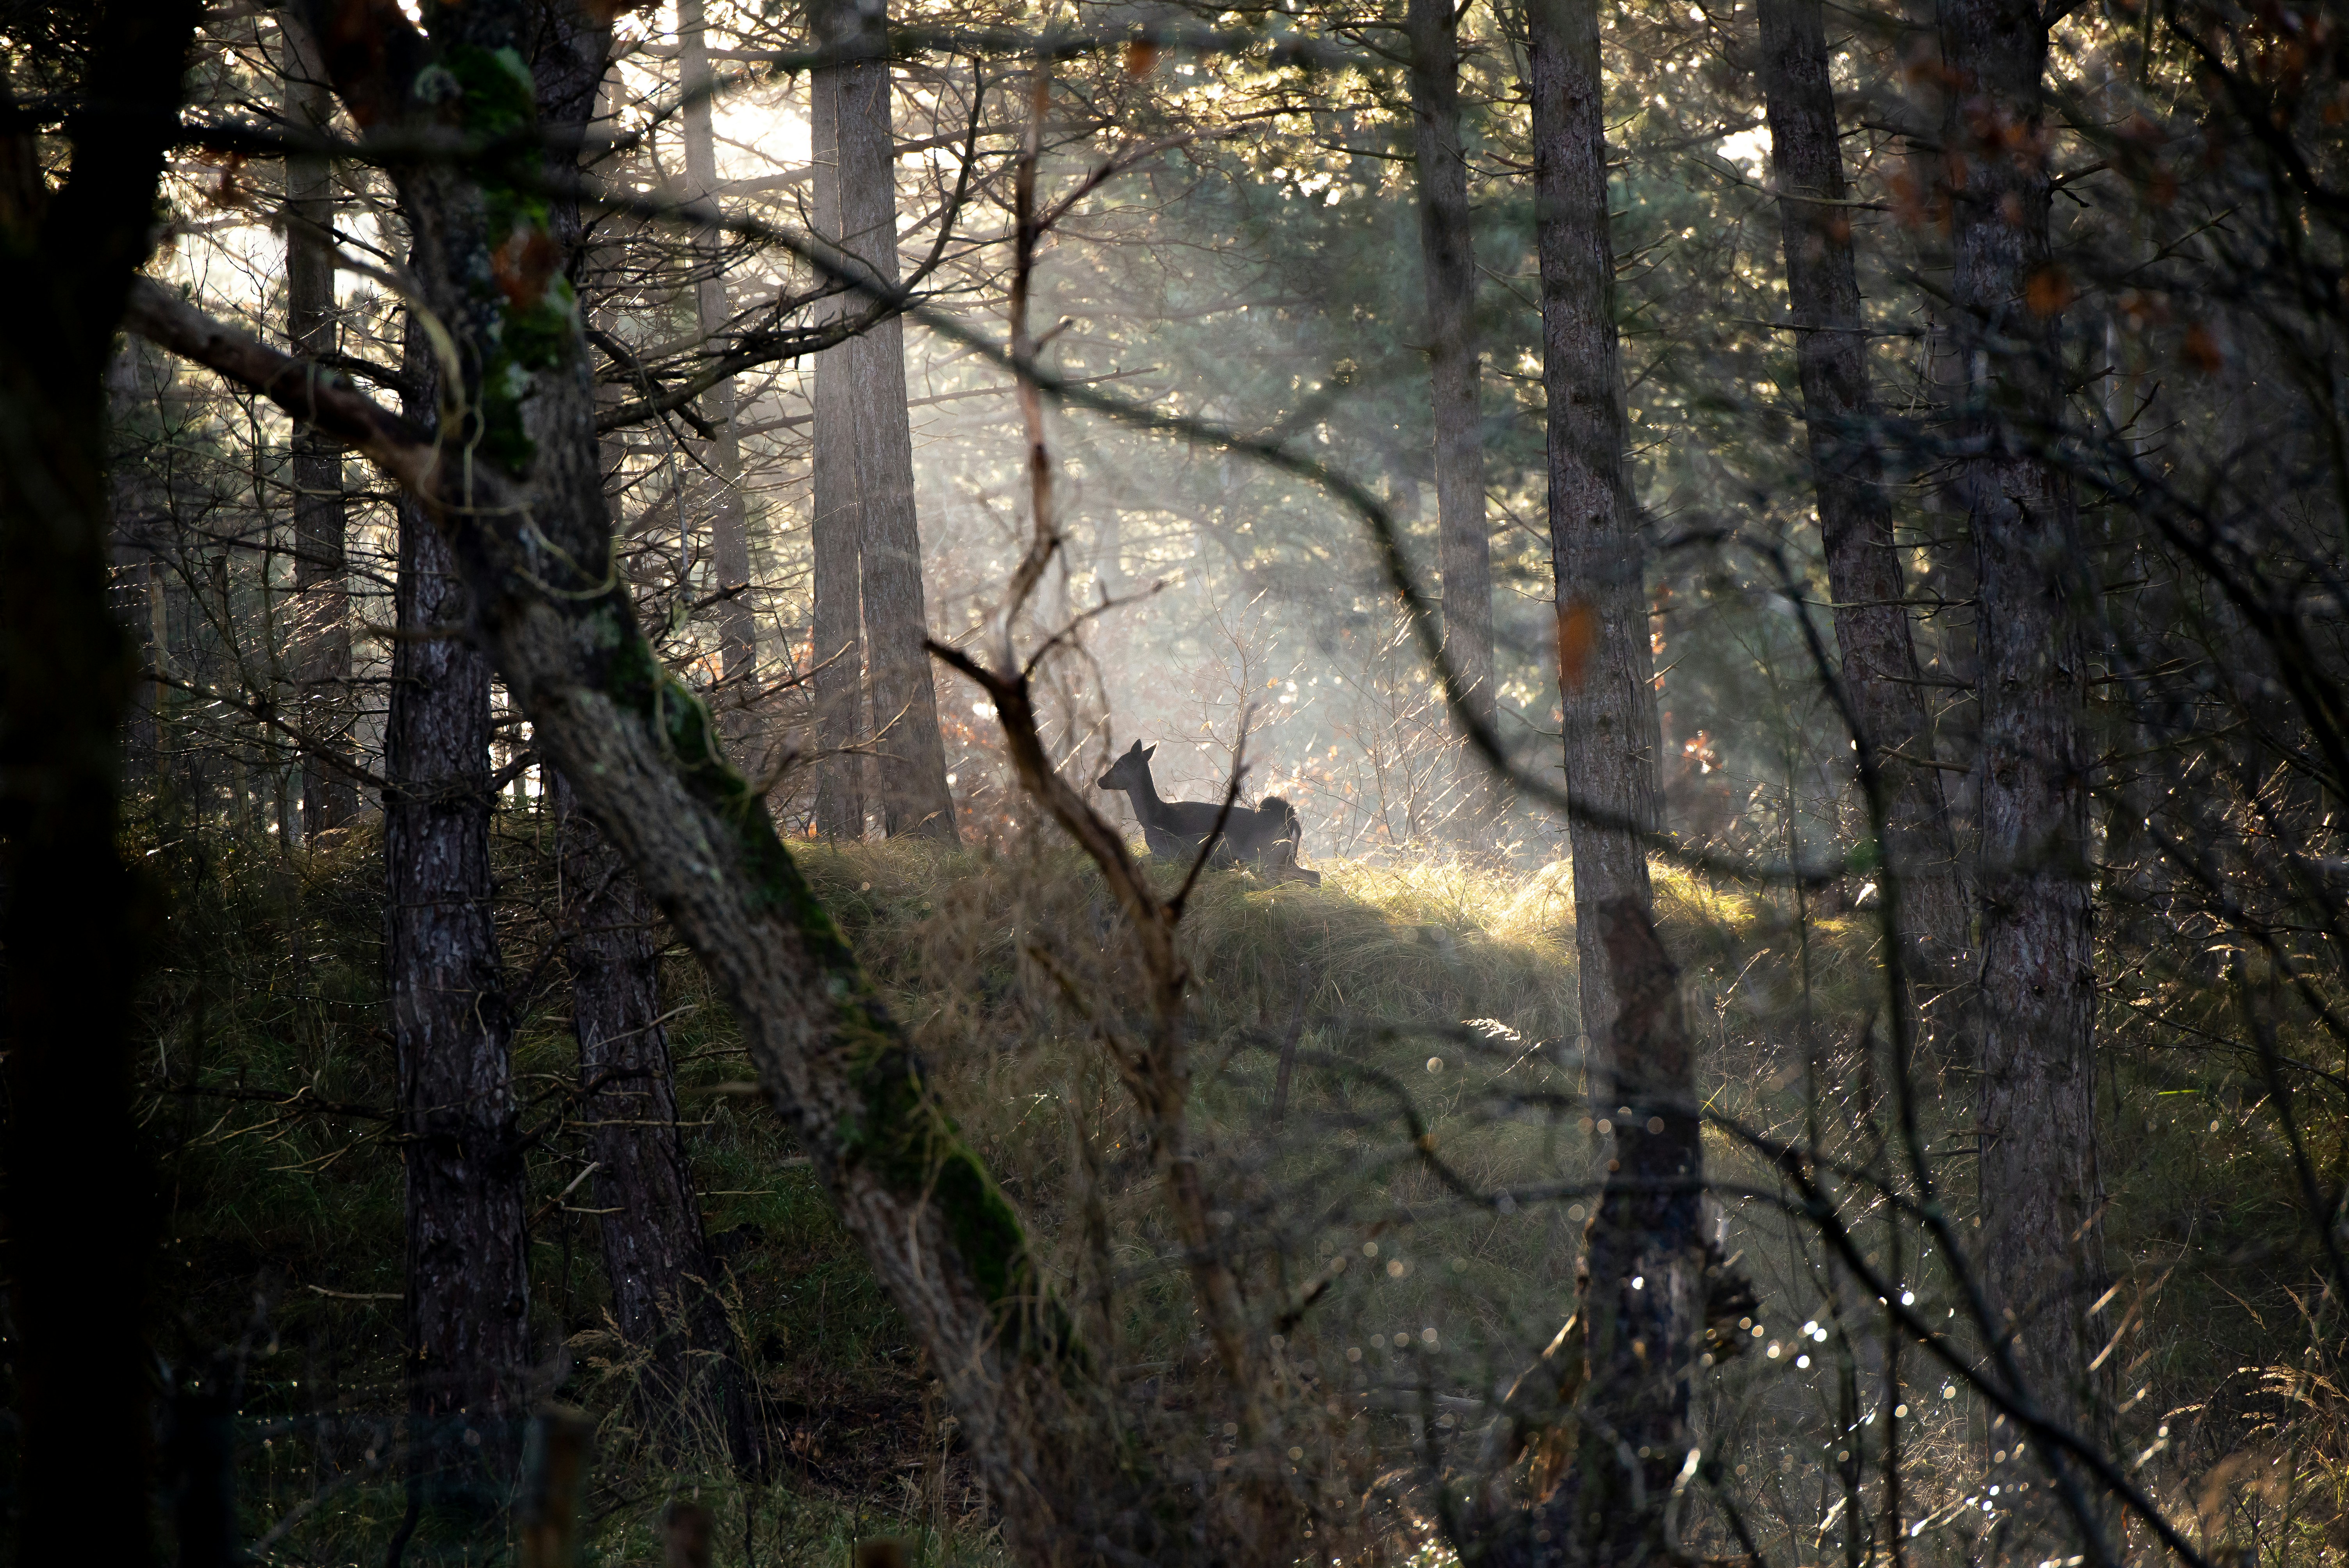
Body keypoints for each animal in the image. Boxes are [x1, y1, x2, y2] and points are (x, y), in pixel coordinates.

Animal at [1095, 739, 1321, 886]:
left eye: (1119, 764)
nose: (1100, 780)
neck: (1152, 819)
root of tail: (1292, 822)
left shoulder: (1166, 853)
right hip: (1285, 861)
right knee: (1314, 876)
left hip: (1268, 860)